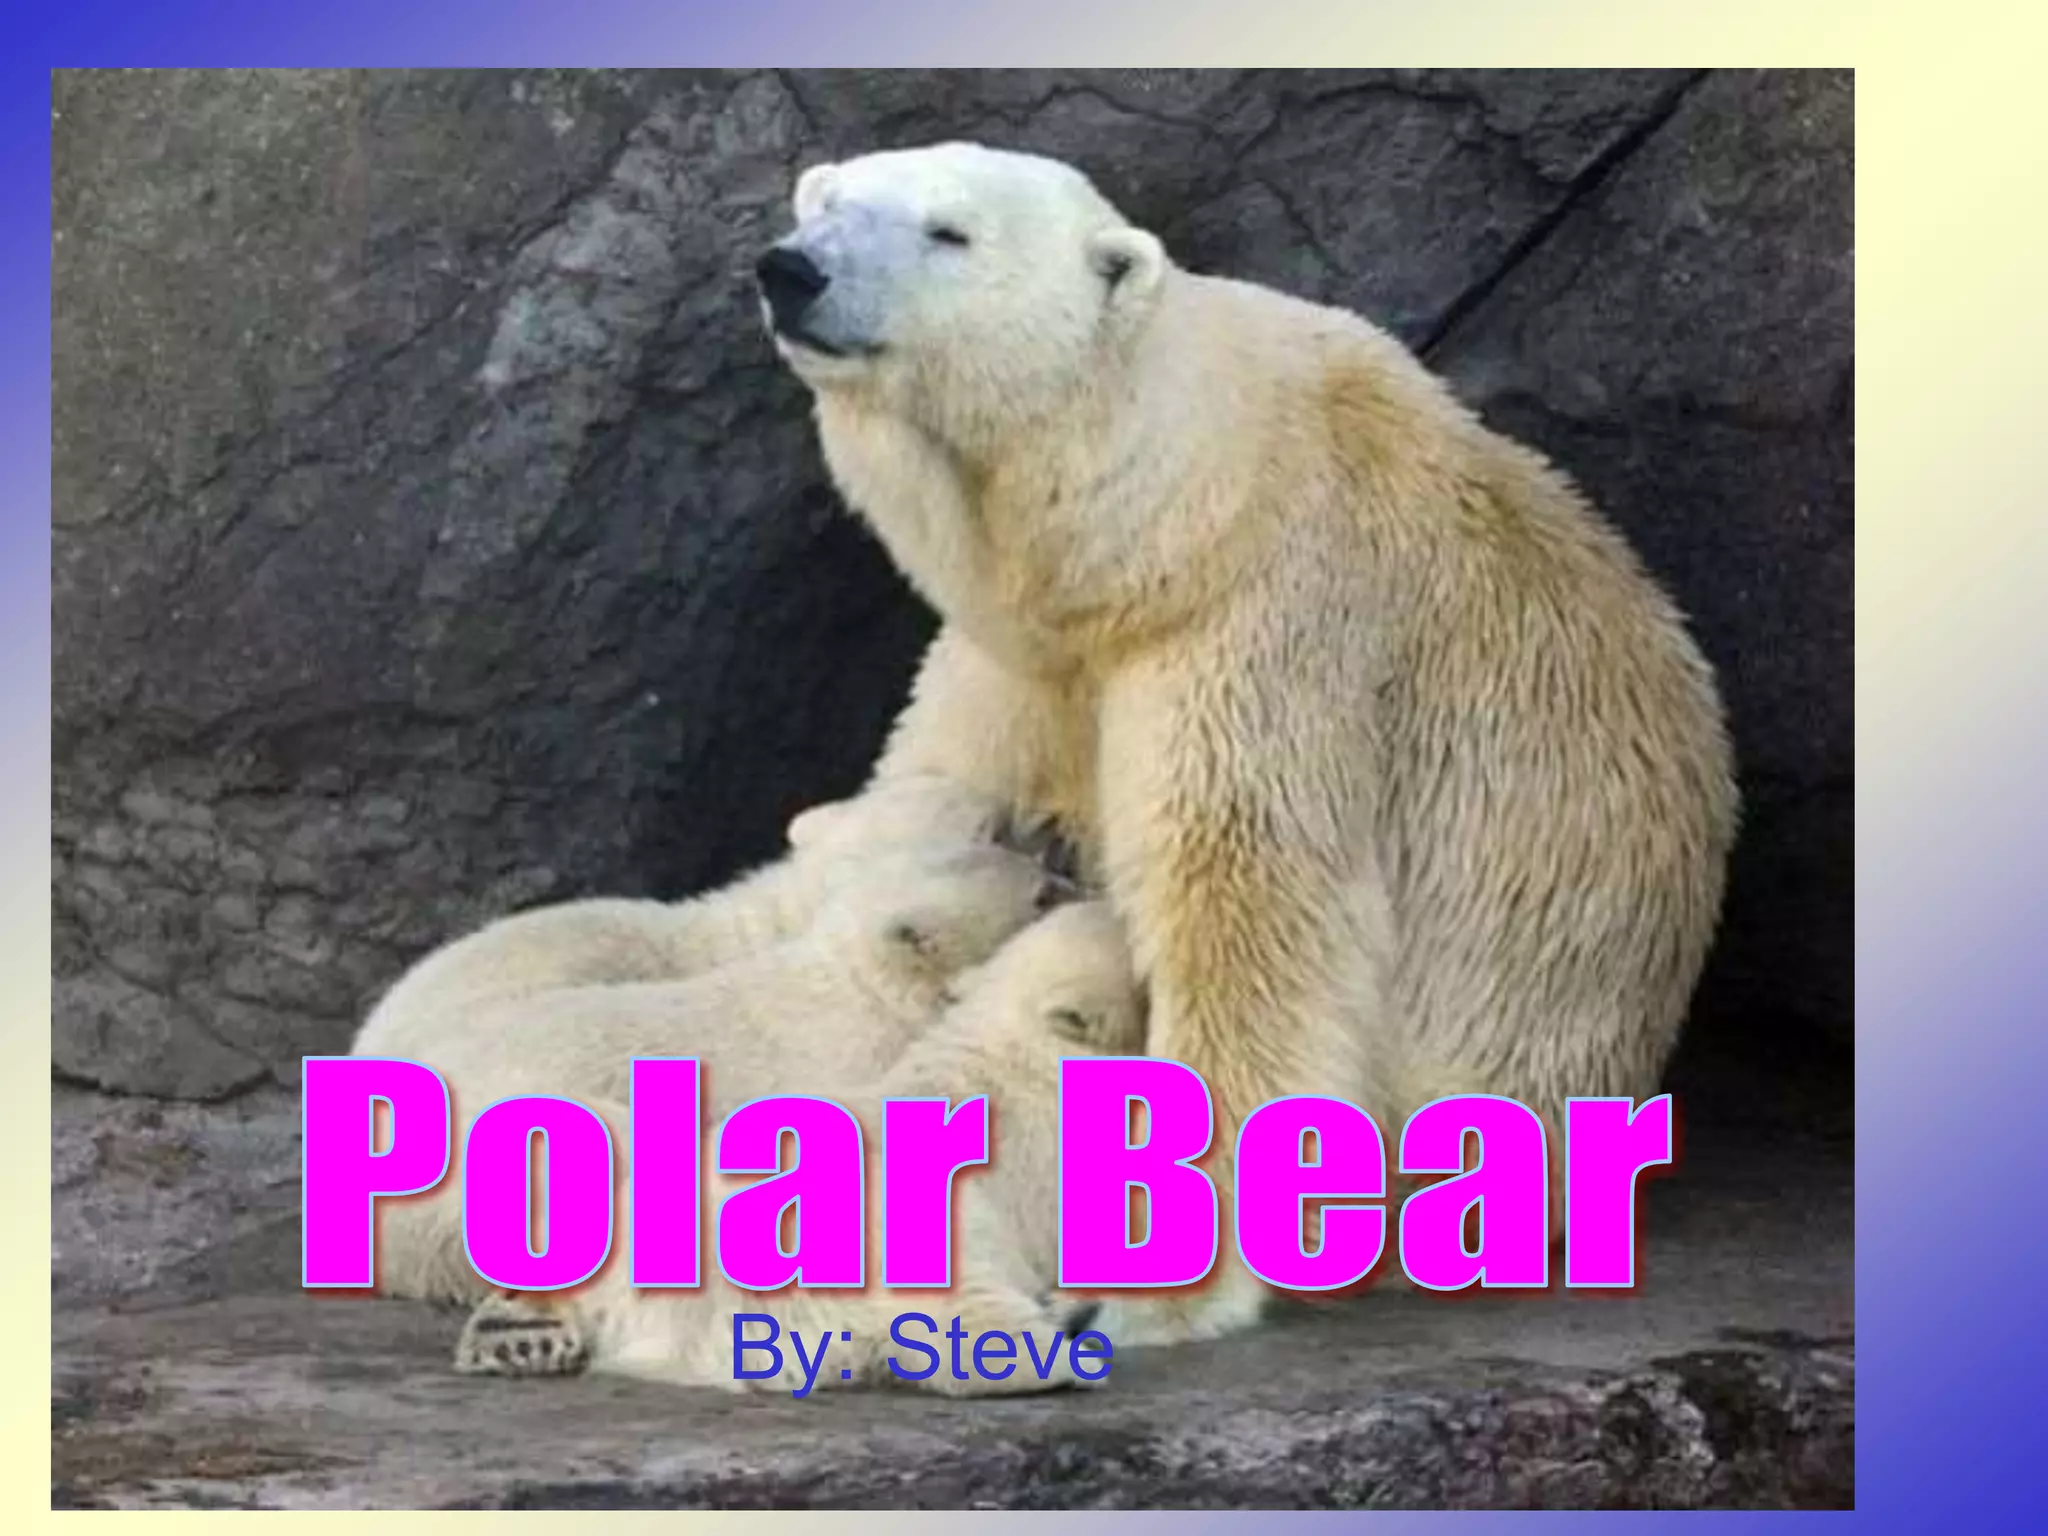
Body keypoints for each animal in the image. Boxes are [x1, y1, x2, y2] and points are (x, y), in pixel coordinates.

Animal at [754, 141, 1740, 1344]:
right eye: (829, 201)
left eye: (950, 232)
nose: (791, 270)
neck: (1165, 513)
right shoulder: (1027, 653)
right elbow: (936, 790)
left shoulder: (1270, 621)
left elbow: (1250, 912)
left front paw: (1153, 1286)